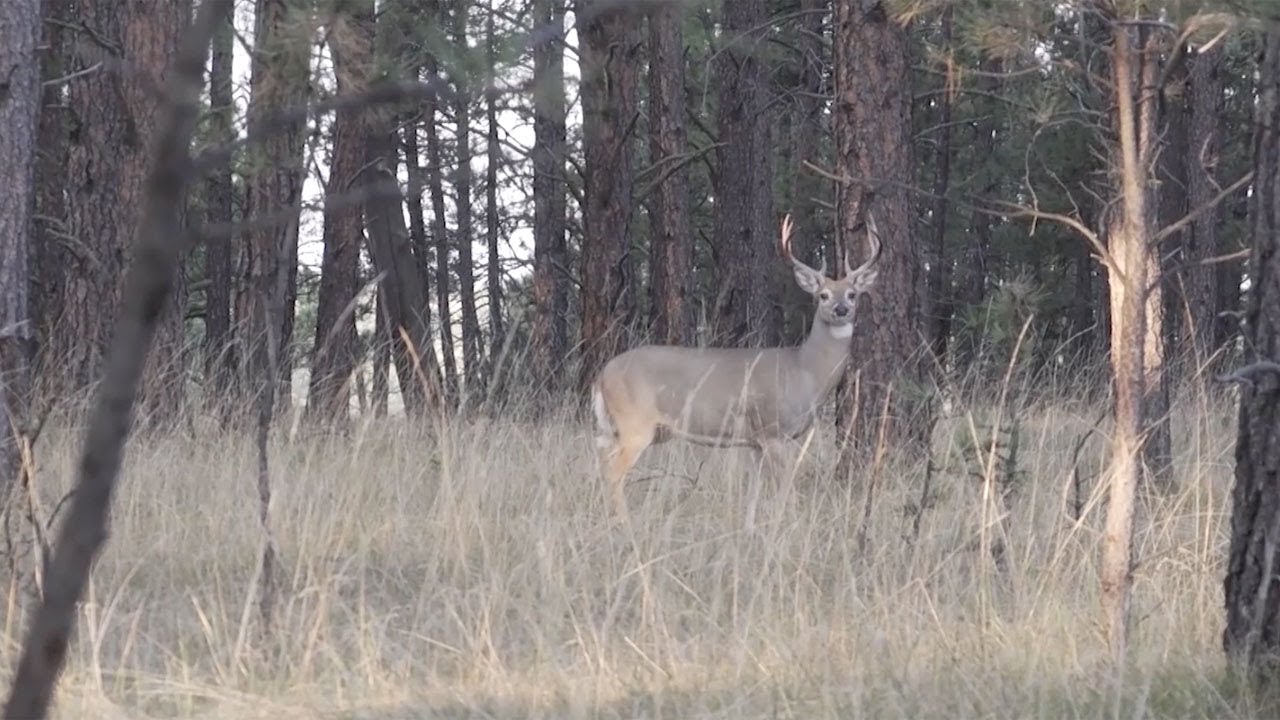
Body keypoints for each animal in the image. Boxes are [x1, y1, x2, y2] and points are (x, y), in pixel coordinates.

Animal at [590, 212, 883, 525]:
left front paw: (750, 528)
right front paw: (786, 525)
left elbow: (753, 492)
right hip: (635, 422)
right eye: (824, 295)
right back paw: (625, 524)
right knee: (613, 472)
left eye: (852, 294)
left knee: (602, 460)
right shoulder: (772, 430)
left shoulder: (754, 442)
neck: (805, 371)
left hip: (618, 428)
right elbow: (786, 490)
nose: (841, 309)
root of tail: (602, 375)